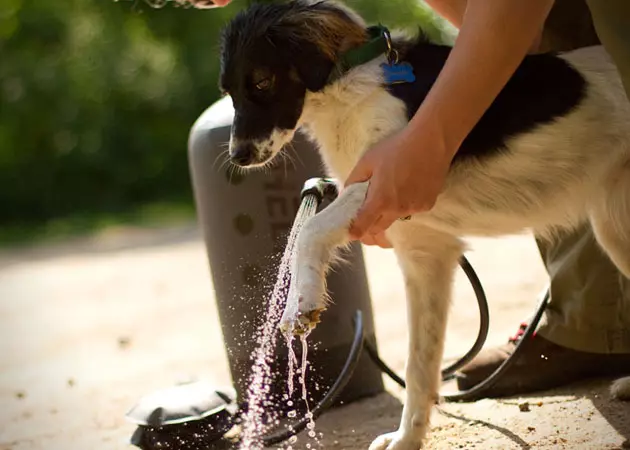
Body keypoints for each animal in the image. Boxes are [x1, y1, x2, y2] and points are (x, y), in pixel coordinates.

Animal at [220, 1, 628, 448]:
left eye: (262, 81)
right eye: (228, 92)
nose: (237, 157)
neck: (350, 91)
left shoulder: (390, 178)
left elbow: (309, 232)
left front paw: (301, 303)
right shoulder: (424, 250)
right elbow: (419, 364)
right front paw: (407, 439)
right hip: (614, 229)